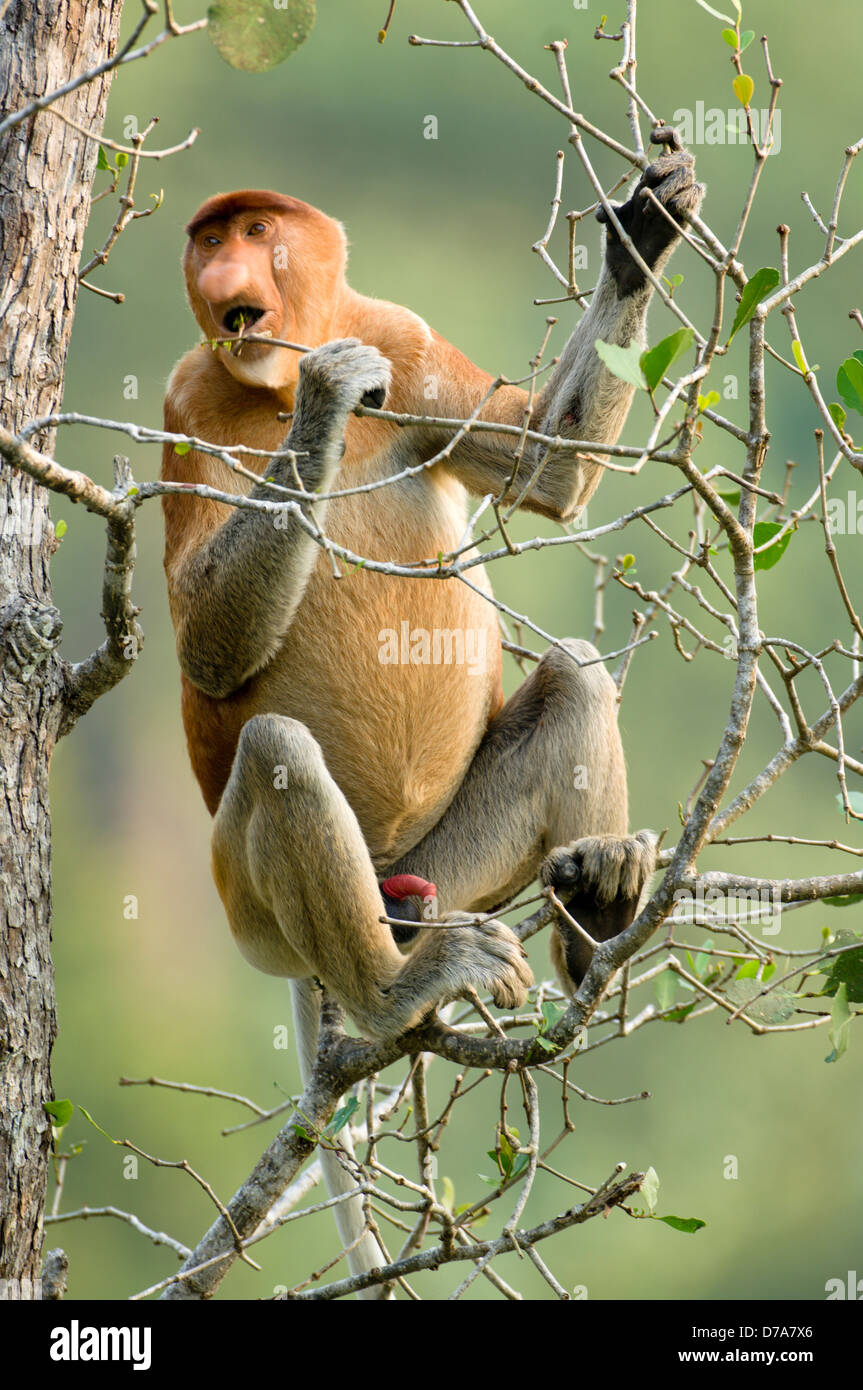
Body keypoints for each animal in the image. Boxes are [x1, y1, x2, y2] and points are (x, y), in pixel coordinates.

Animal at [161, 135, 702, 1292]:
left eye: (255, 231)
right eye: (209, 237)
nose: (225, 273)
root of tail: (389, 884)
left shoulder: (401, 336)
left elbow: (544, 465)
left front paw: (642, 238)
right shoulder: (184, 398)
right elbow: (204, 643)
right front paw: (326, 399)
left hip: (447, 863)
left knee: (577, 673)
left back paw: (597, 912)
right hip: (248, 911)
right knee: (274, 749)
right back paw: (389, 992)